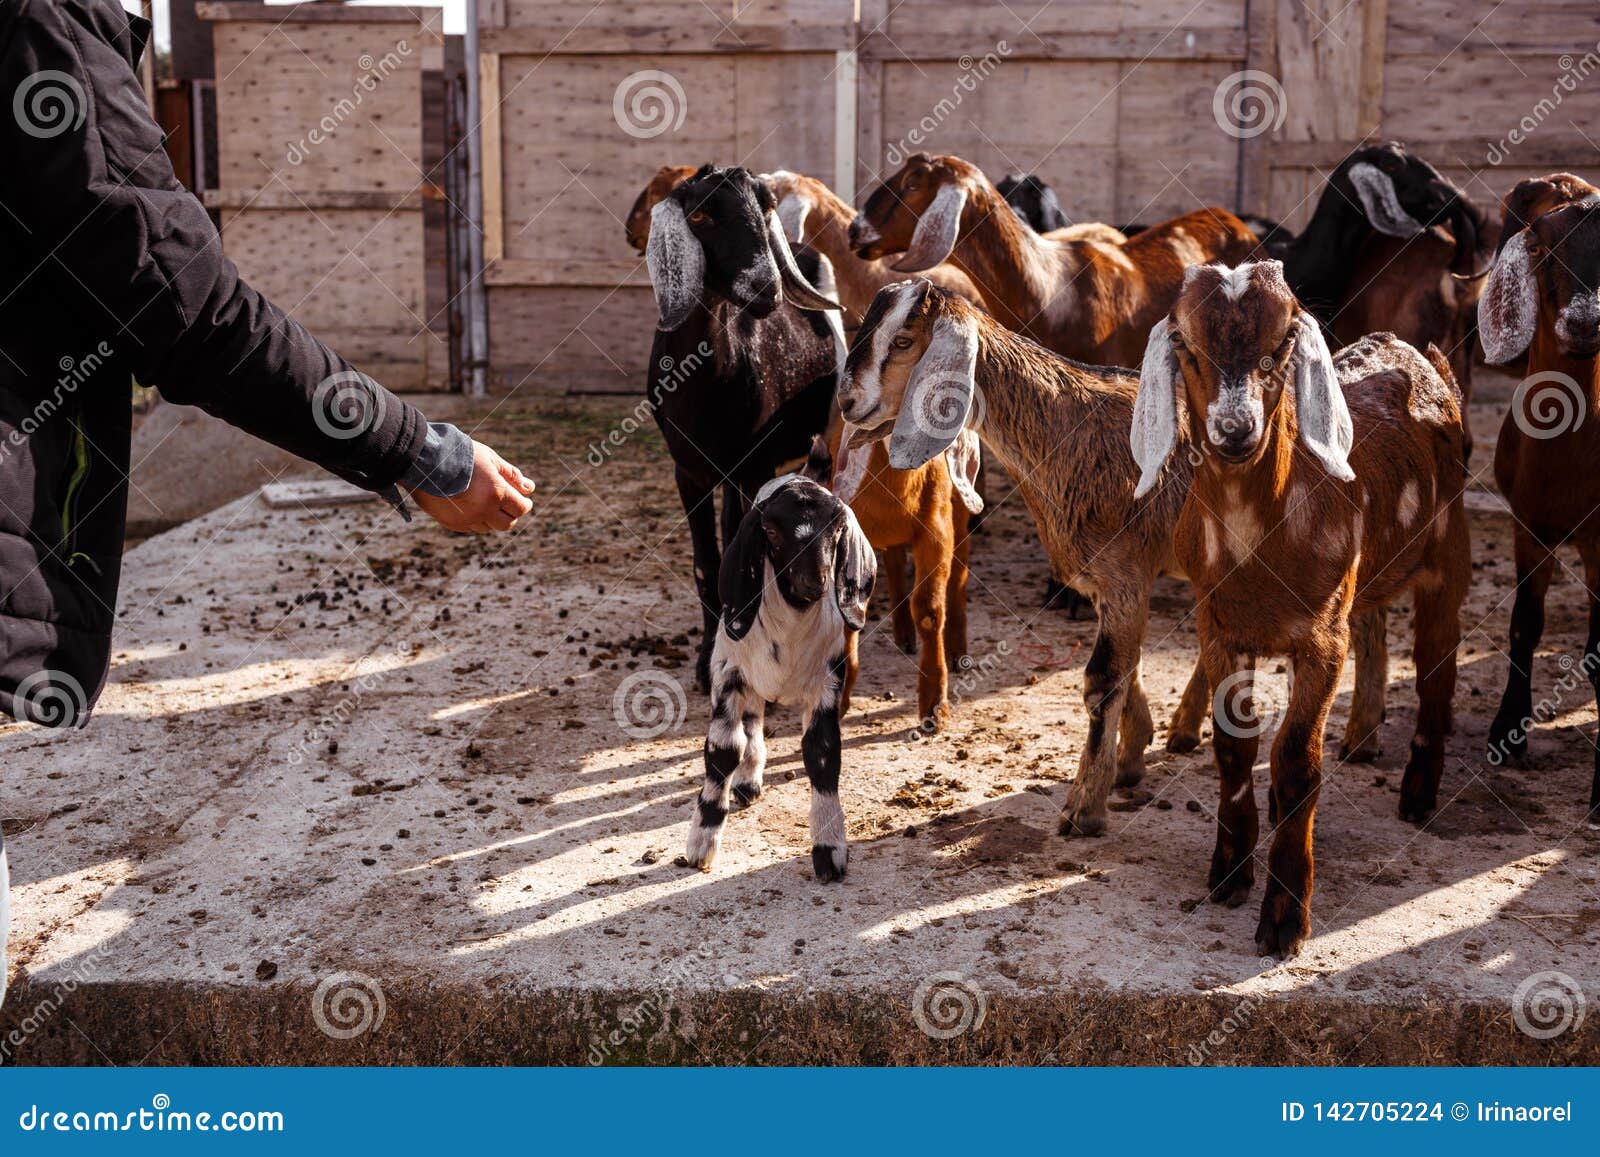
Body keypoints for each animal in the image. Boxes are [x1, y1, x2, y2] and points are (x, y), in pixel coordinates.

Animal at [645, 164, 844, 690]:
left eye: (764, 205)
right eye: (700, 214)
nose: (766, 290)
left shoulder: (747, 467)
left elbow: (738, 548)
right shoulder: (688, 471)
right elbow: (706, 562)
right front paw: (703, 660)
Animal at [685, 461, 876, 881]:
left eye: (837, 530)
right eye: (770, 532)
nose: (813, 582)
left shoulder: (828, 682)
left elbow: (822, 751)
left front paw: (829, 849)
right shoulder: (727, 674)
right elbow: (723, 749)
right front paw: (702, 840)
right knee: (752, 718)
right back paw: (747, 778)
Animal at [837, 279, 1213, 836]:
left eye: (903, 341)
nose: (846, 401)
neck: (1074, 427)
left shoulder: (1125, 573)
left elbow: (1104, 678)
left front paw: (1083, 809)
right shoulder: (1106, 581)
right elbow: (1129, 668)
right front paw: (1131, 758)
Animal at [1131, 259, 1469, 957]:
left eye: (1285, 339)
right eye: (1184, 341)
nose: (1235, 430)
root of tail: (1420, 357)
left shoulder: (1320, 639)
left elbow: (1294, 758)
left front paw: (1284, 917)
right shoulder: (1218, 627)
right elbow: (1234, 745)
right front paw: (1228, 872)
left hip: (1448, 551)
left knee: (1435, 667)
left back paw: (1418, 792)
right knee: (1374, 627)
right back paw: (1362, 737)